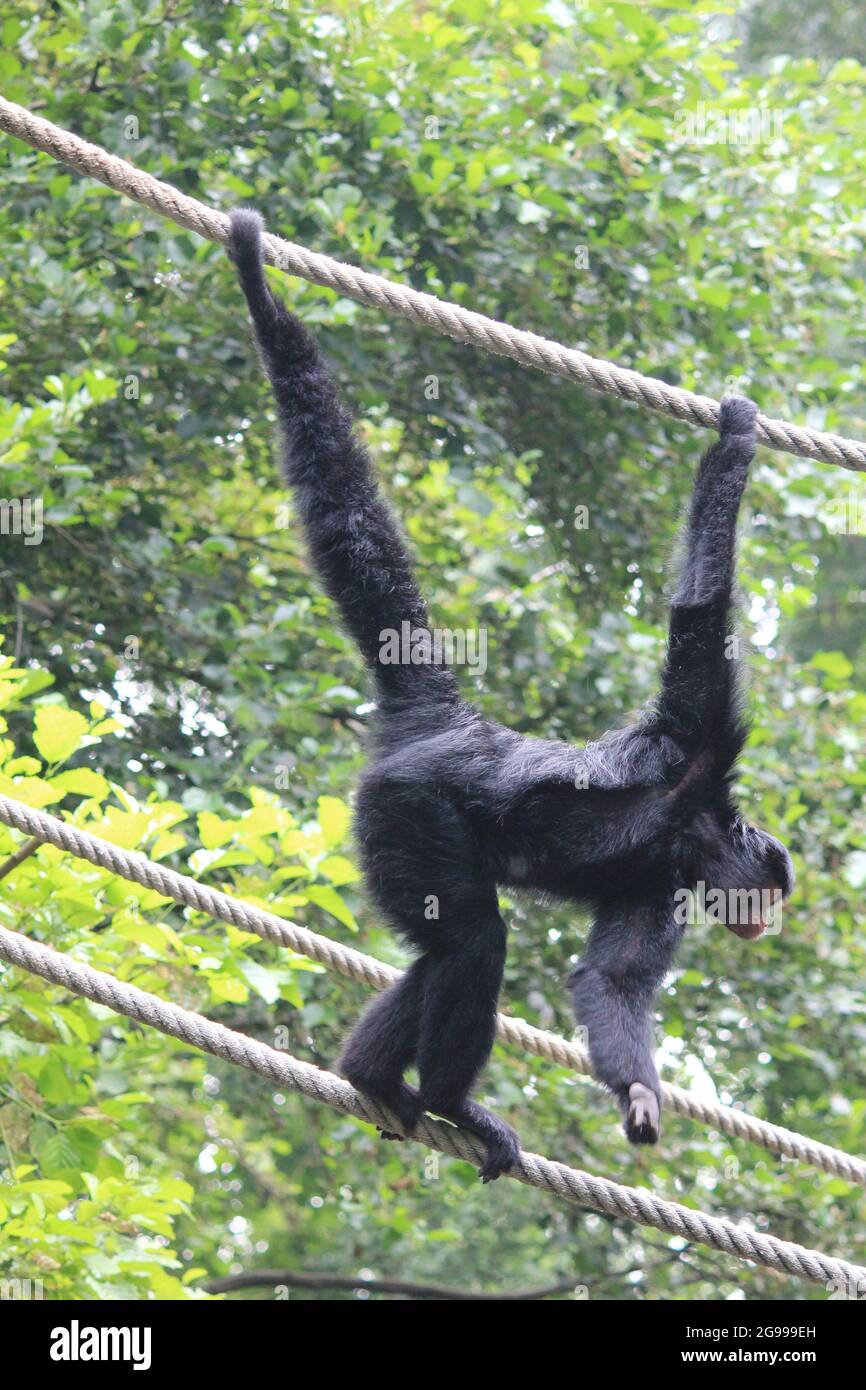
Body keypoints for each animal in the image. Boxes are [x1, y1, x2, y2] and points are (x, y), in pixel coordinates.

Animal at [227, 209, 794, 1181]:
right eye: (774, 892)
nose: (769, 922)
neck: (697, 830)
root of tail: (450, 721)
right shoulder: (701, 741)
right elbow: (699, 620)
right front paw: (734, 442)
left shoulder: (662, 884)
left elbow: (609, 980)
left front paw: (638, 1095)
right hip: (409, 808)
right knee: (472, 939)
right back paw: (450, 1101)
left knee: (439, 947)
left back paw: (374, 1079)